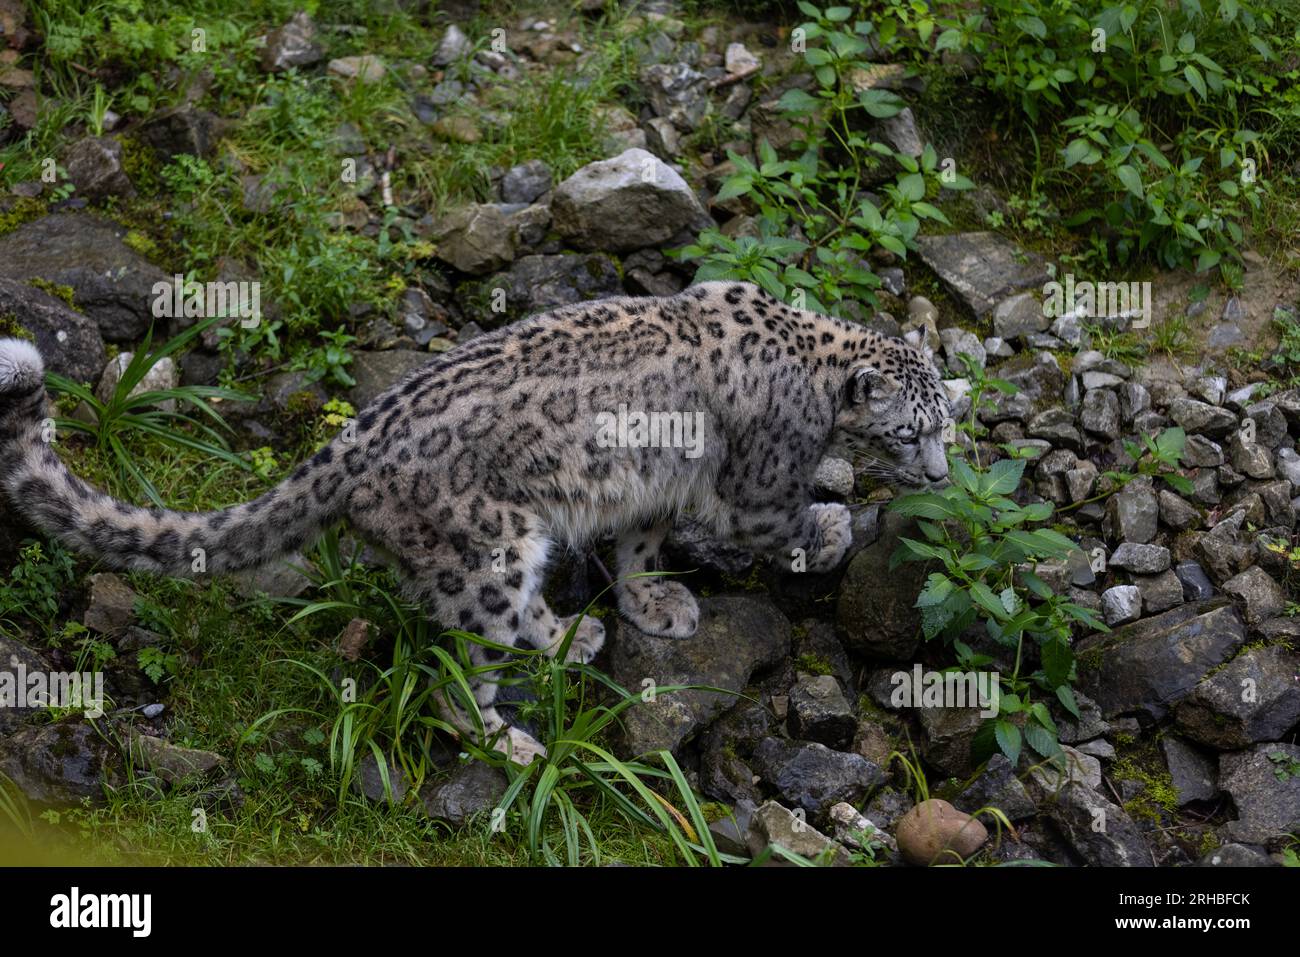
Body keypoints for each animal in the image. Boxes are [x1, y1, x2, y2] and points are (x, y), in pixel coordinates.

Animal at [0, 280, 952, 764]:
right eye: (912, 432)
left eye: (950, 420)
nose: (944, 474)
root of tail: (349, 445)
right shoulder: (757, 484)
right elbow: (778, 521)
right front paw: (832, 530)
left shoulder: (651, 486)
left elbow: (639, 545)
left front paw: (652, 604)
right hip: (483, 551)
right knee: (457, 679)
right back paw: (513, 740)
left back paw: (573, 634)